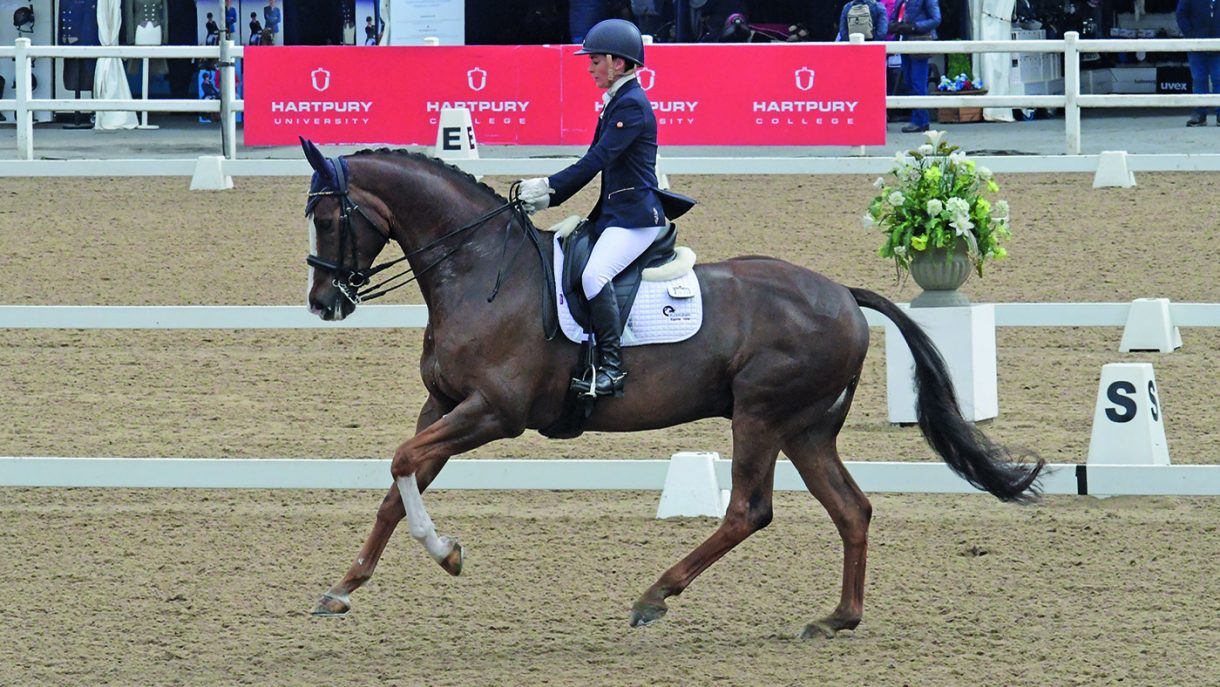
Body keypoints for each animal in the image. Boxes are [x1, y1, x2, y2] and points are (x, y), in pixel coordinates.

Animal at [299, 139, 1044, 638]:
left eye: (330, 219)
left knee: (748, 510)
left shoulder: (493, 413)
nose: (324, 304)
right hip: (805, 427)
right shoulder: (447, 404)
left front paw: (447, 553)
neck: (483, 270)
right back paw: (836, 618)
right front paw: (343, 588)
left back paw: (655, 594)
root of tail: (842, 293)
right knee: (851, 509)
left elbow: (402, 461)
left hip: (761, 416)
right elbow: (398, 484)